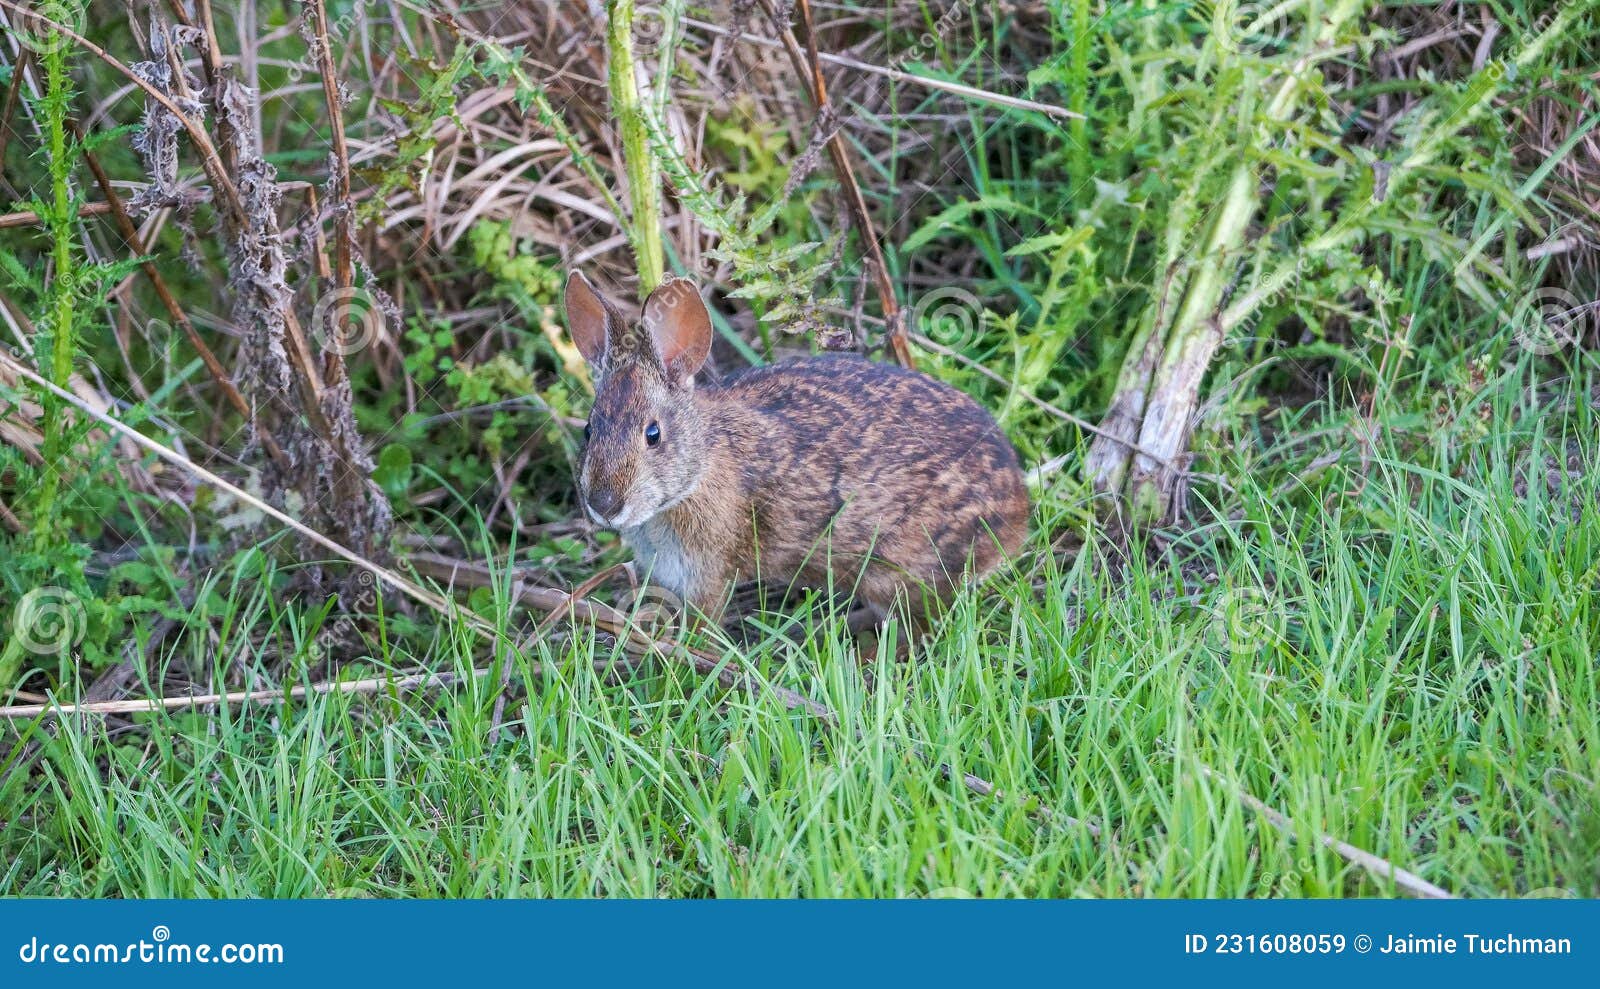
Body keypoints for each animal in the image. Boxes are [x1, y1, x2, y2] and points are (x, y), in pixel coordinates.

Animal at [565, 270, 1029, 631]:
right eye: (588, 430)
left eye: (653, 434)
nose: (604, 504)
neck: (699, 469)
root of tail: (1018, 511)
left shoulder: (707, 572)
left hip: (897, 570)